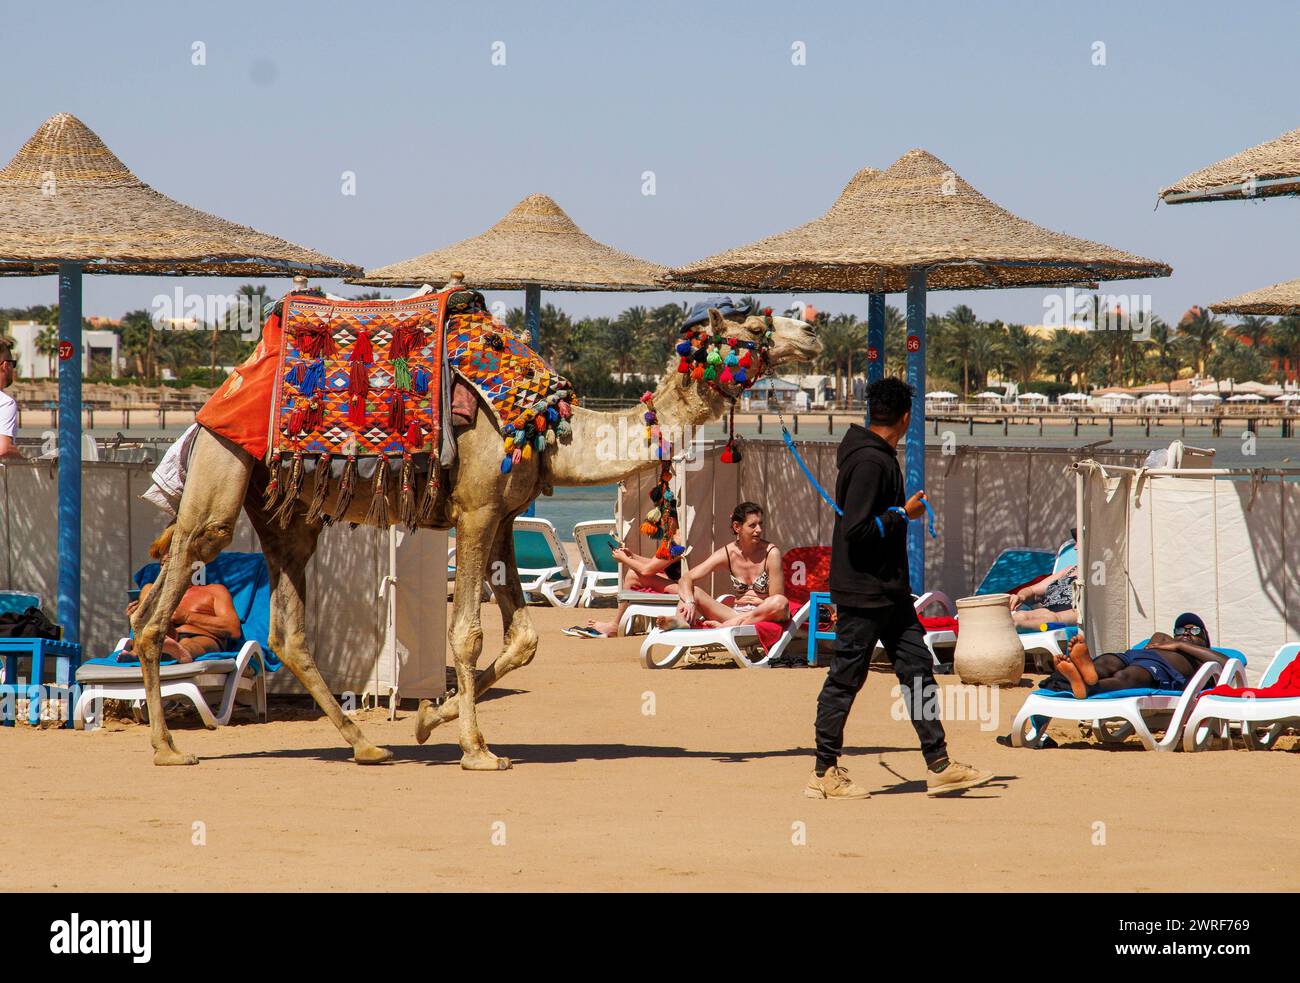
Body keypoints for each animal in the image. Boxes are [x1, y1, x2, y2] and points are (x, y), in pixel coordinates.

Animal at [128, 306, 820, 768]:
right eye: (750, 332)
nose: (812, 330)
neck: (549, 427)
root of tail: (212, 399)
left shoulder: (507, 516)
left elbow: (524, 640)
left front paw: (428, 722)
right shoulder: (476, 508)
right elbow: (467, 632)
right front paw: (474, 750)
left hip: (286, 513)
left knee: (286, 631)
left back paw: (367, 745)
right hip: (222, 473)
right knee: (162, 598)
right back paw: (167, 748)